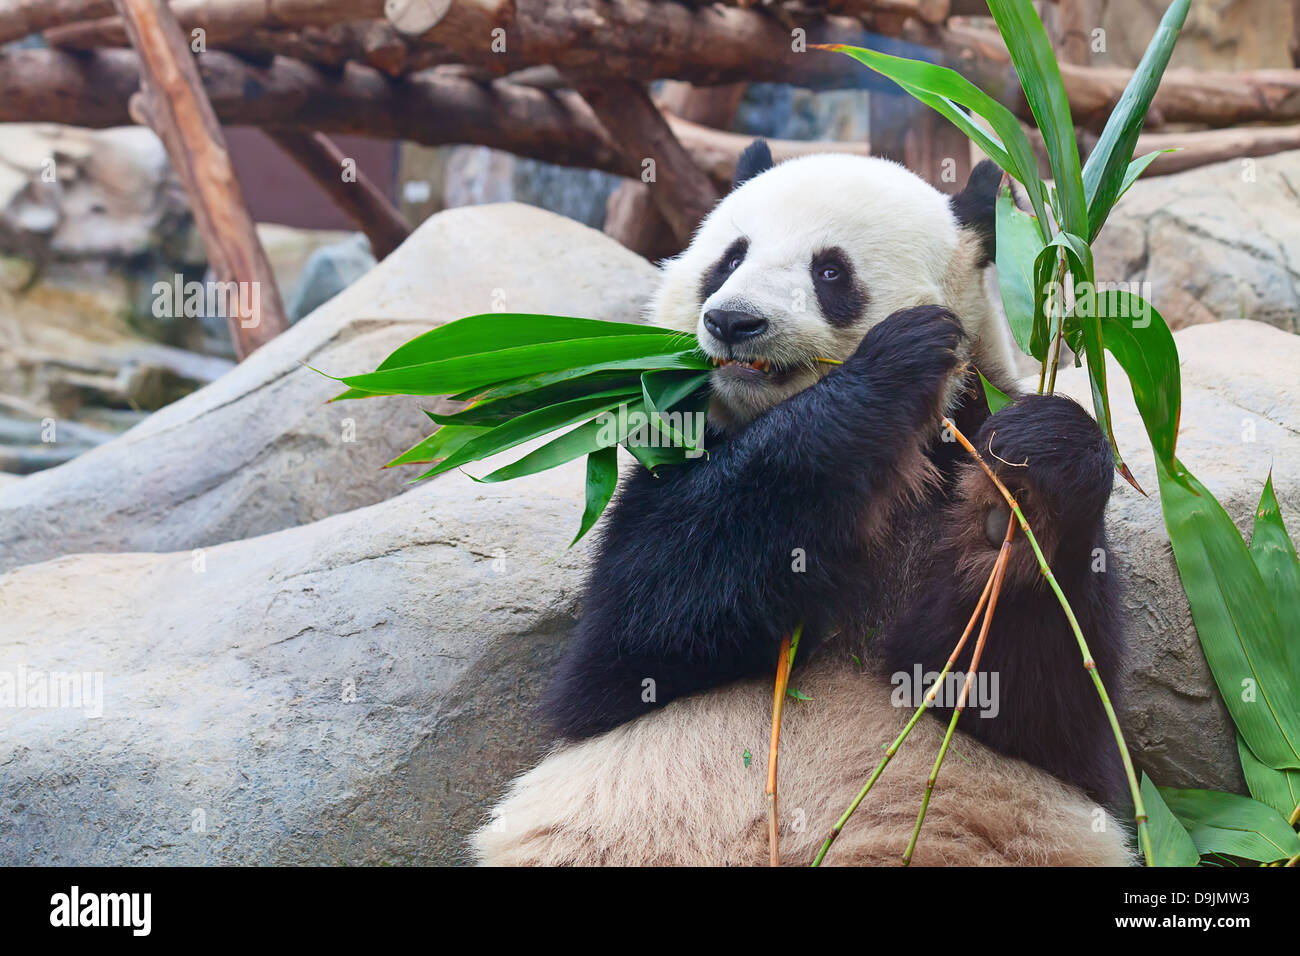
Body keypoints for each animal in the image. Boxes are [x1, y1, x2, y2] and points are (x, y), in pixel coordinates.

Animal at [472, 142, 1132, 866]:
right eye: (730, 258)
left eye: (831, 271)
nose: (733, 321)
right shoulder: (670, 464)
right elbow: (638, 625)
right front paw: (892, 368)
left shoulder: (959, 451)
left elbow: (1036, 706)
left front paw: (1025, 487)